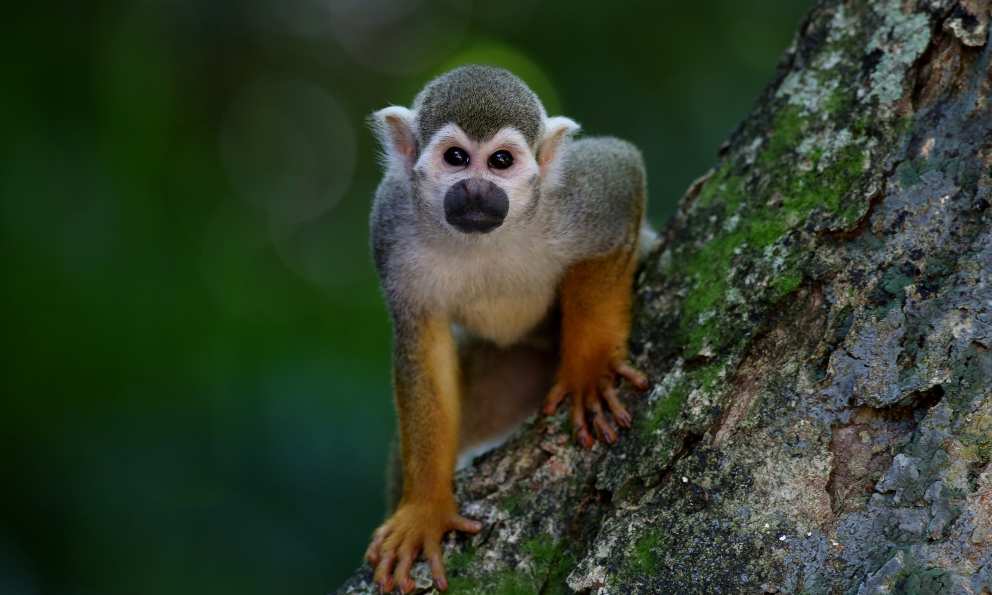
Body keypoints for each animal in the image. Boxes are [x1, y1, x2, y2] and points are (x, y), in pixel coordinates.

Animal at [364, 65, 653, 593]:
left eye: (501, 161)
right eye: (456, 158)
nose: (477, 191)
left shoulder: (577, 195)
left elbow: (622, 173)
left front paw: (589, 370)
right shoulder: (390, 224)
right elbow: (422, 345)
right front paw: (425, 508)